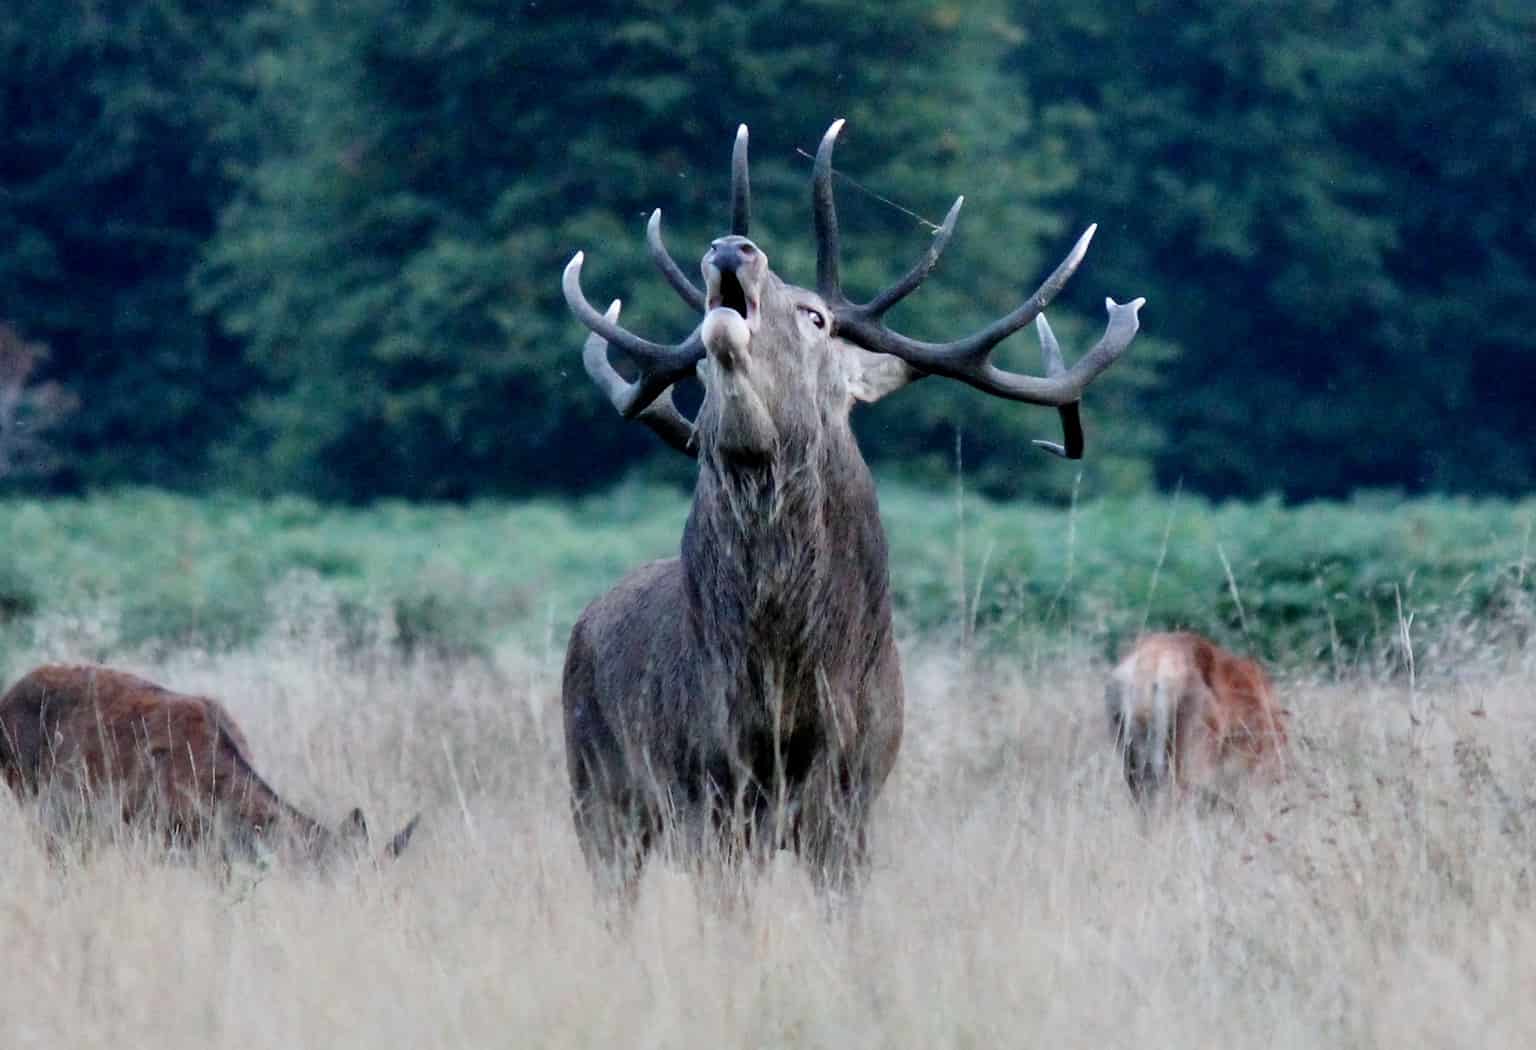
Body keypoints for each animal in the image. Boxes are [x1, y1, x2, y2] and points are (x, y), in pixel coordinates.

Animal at [560, 120, 1145, 895]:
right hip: (596, 788)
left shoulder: (853, 788)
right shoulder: (709, 788)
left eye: (815, 316)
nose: (731, 247)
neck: (785, 675)